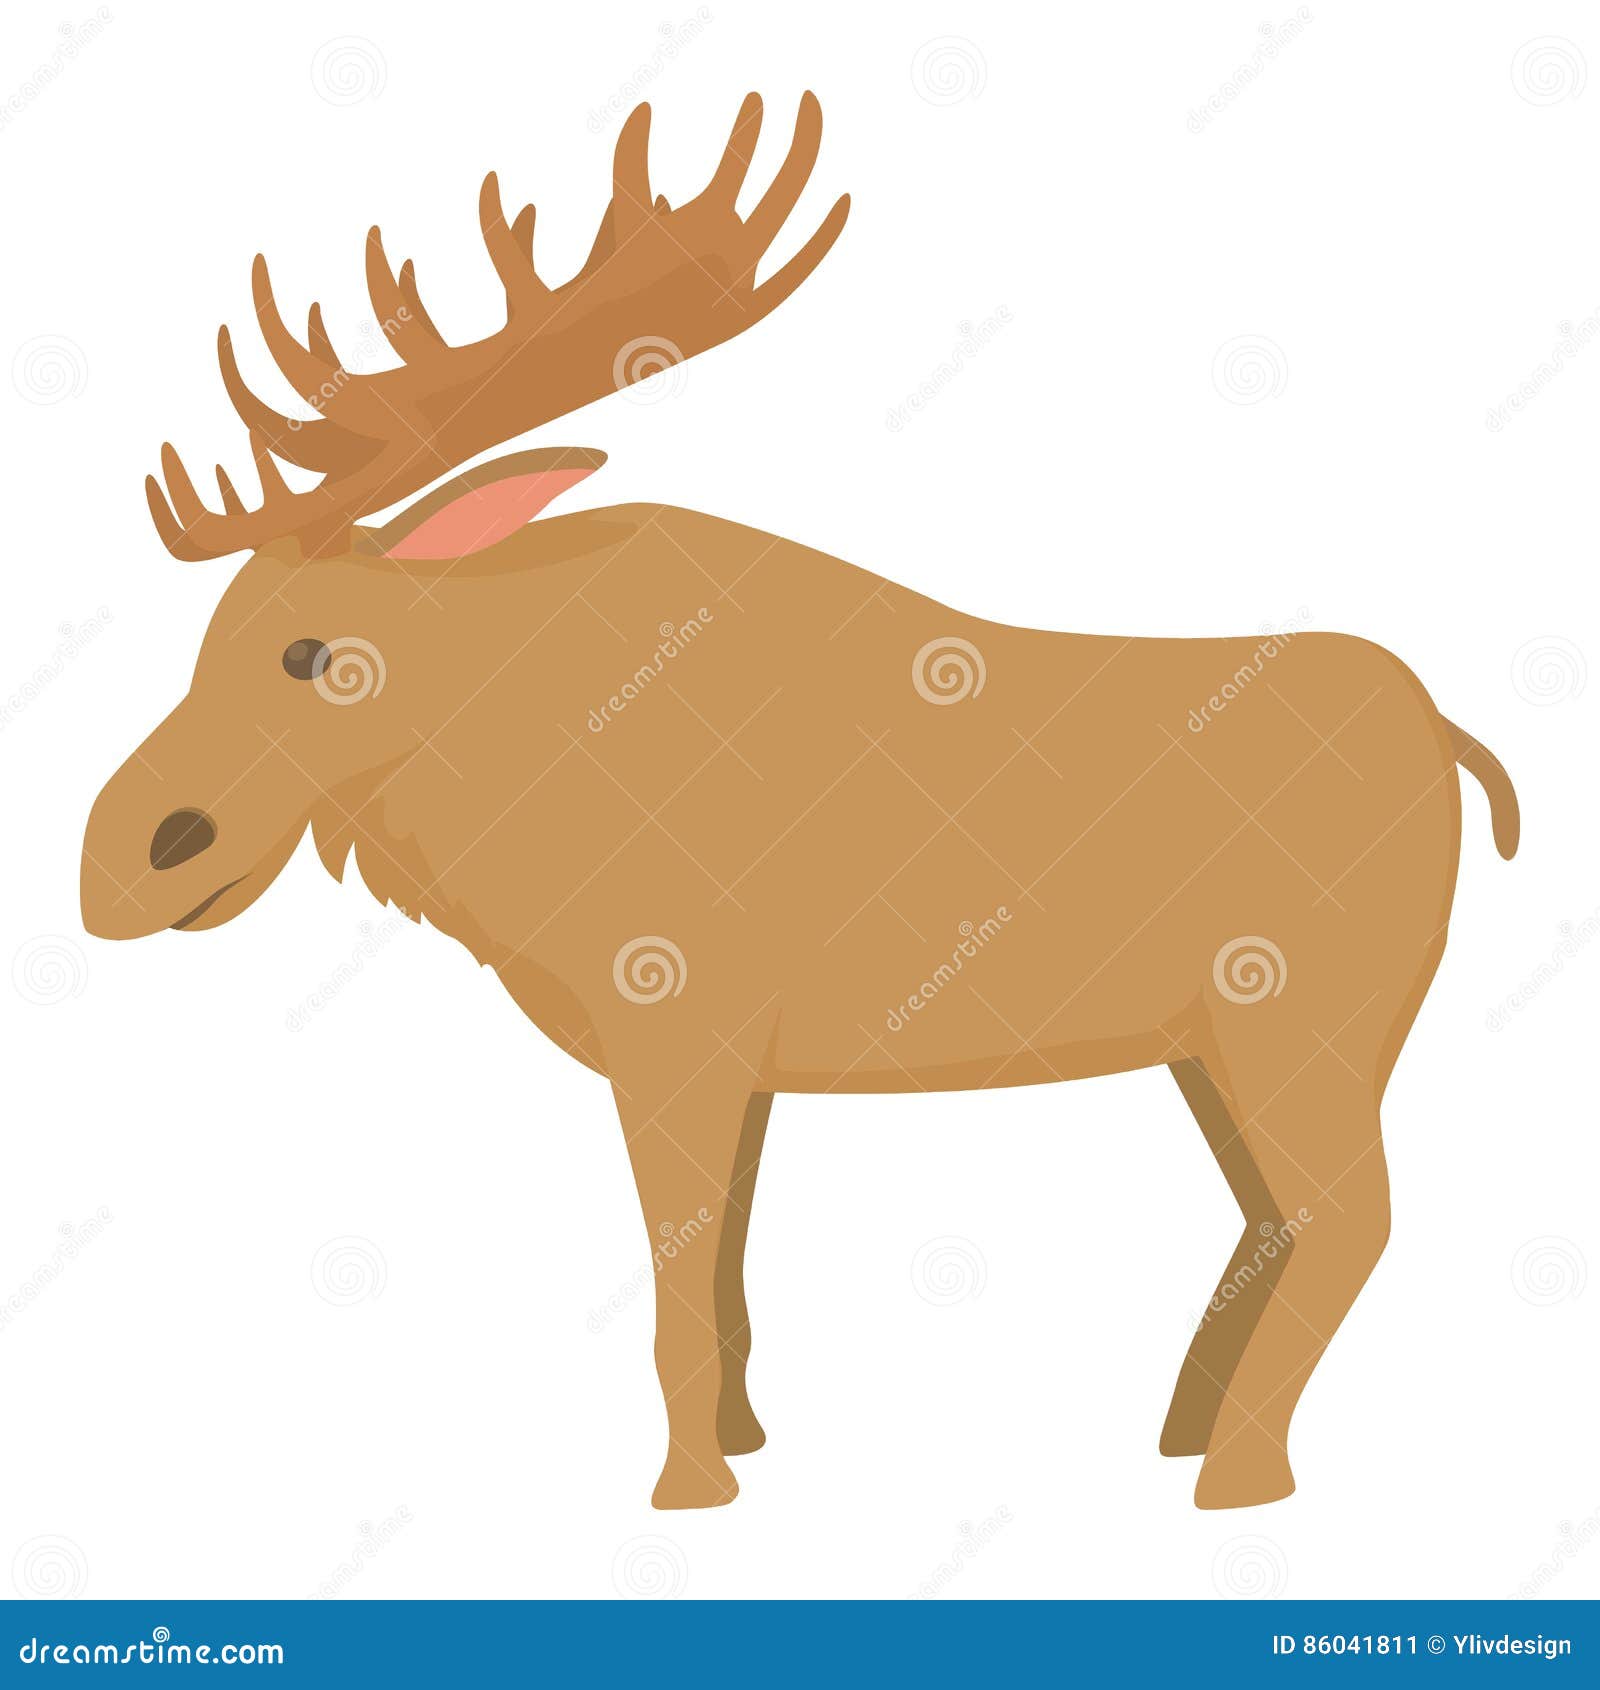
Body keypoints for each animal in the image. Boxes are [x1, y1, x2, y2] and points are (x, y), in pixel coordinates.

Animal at [81, 93, 1519, 1512]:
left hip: (1302, 1021)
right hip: (1212, 1042)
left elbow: (676, 1279)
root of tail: (1455, 743)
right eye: (210, 638)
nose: (120, 859)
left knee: (1352, 1214)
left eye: (309, 652)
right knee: (1274, 1217)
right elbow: (724, 1273)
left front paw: (686, 1484)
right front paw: (746, 1440)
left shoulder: (677, 1025)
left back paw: (1235, 1472)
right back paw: (1179, 1428)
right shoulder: (744, 1062)